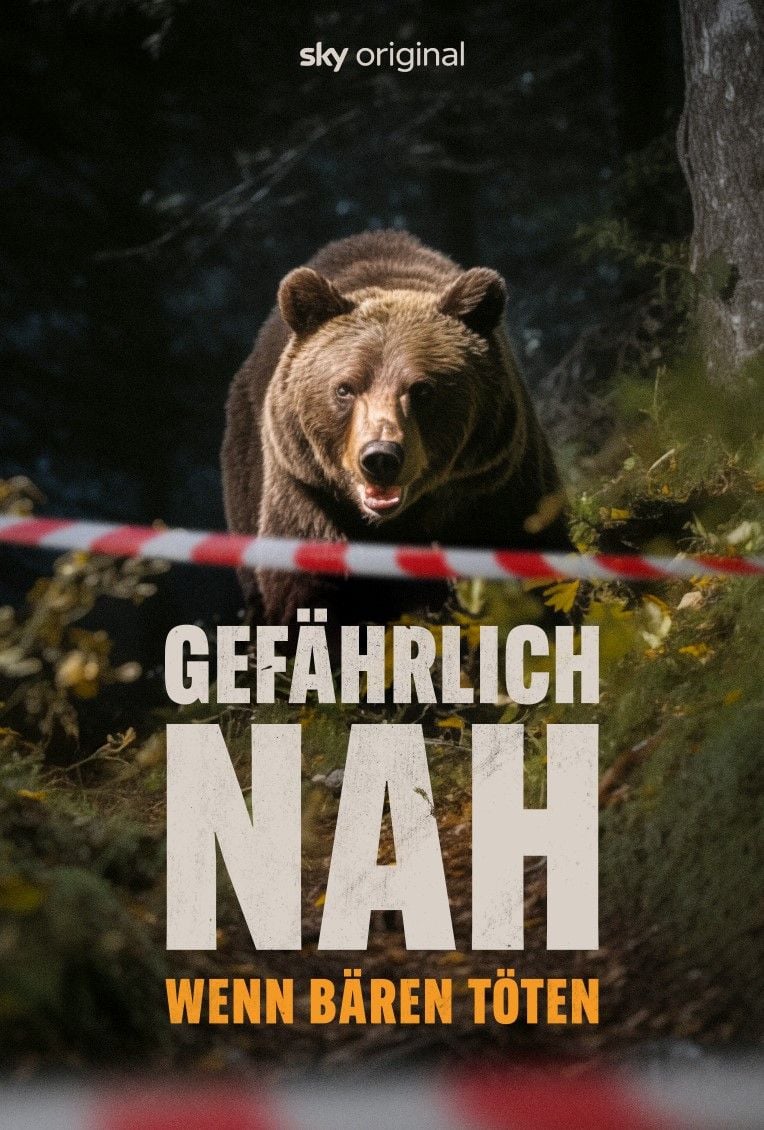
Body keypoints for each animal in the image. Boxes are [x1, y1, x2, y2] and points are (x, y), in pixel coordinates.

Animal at [222, 230, 572, 627]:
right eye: (344, 388)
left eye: (422, 389)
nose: (380, 456)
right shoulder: (309, 499)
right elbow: (306, 593)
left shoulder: (494, 485)